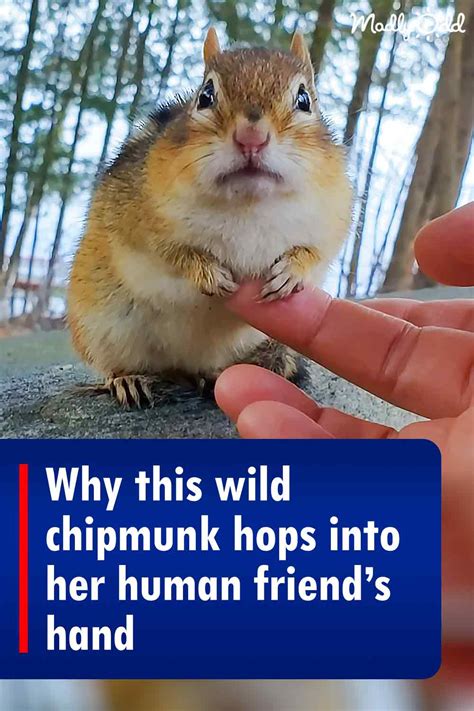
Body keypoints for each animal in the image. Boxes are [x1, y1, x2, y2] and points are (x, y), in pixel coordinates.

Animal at [68, 29, 352, 409]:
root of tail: (182, 365)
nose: (251, 138)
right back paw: (127, 379)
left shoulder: (332, 221)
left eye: (305, 99)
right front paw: (207, 272)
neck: (248, 205)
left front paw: (292, 271)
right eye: (205, 95)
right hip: (100, 327)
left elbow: (316, 252)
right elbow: (169, 252)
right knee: (116, 365)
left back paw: (211, 376)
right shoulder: (137, 218)